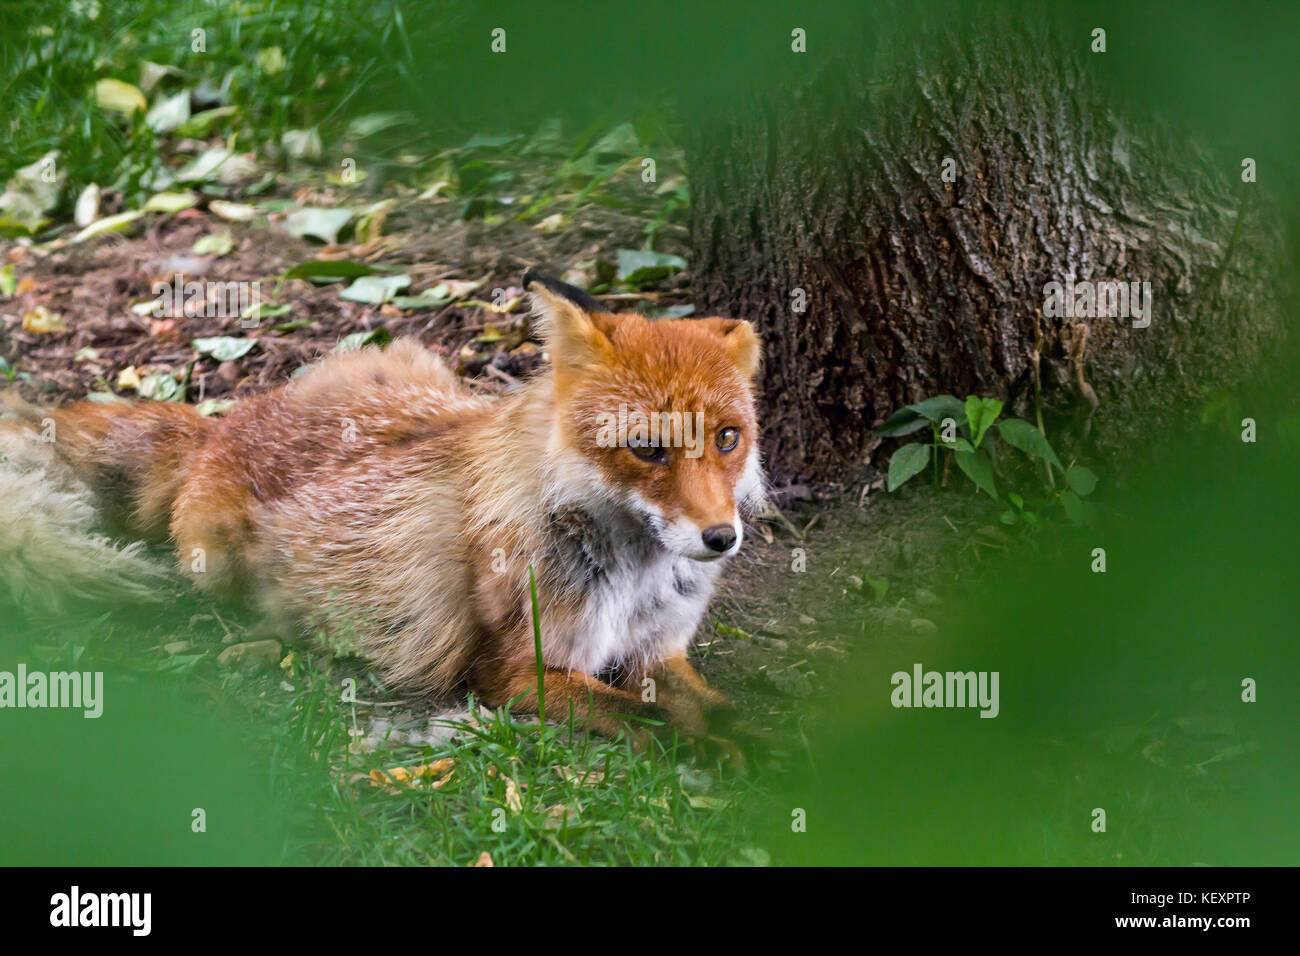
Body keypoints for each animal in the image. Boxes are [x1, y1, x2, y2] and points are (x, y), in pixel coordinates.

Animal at [0, 271, 765, 738]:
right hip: (212, 561)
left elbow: (723, 711)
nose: (721, 538)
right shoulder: (516, 673)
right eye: (647, 448)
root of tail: (223, 425)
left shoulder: (657, 652)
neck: (633, 580)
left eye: (728, 437)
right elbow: (654, 723)